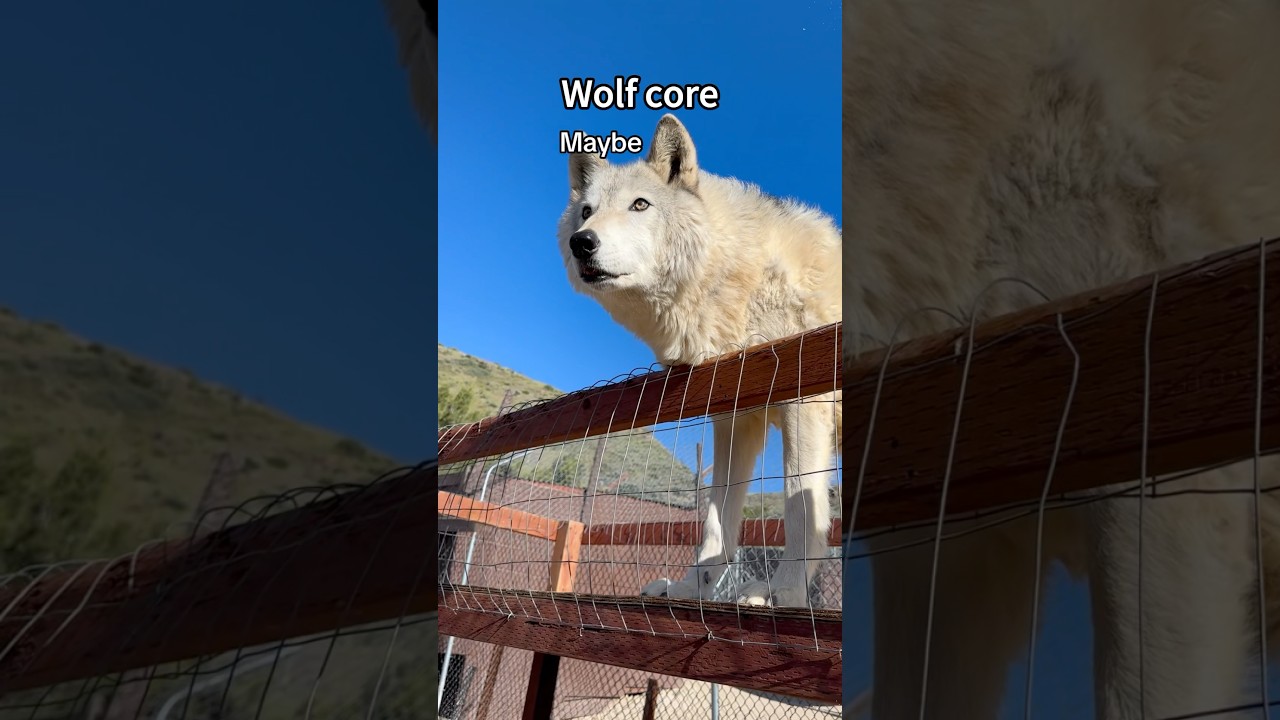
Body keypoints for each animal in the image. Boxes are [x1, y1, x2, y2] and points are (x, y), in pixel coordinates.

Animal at [557, 114, 842, 608]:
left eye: (639, 205)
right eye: (587, 211)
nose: (582, 242)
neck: (739, 276)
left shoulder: (804, 403)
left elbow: (799, 507)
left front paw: (783, 594)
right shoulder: (734, 418)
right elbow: (715, 521)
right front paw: (692, 589)